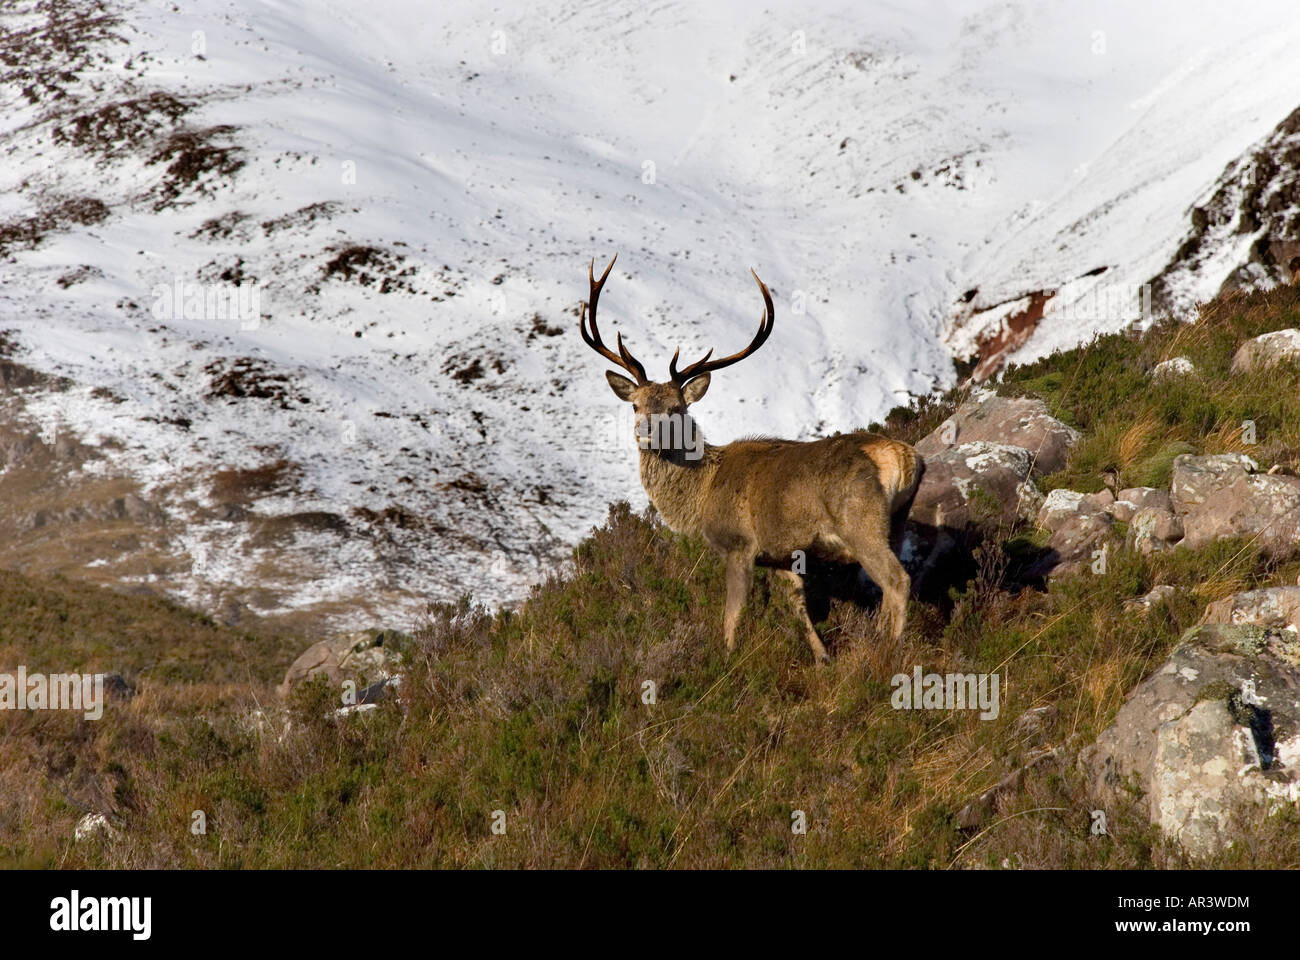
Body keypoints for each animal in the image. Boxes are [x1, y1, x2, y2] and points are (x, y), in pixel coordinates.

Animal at [579, 254, 925, 663]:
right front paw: (822, 657)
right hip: (896, 521)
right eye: (636, 405)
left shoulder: (739, 543)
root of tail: (902, 457)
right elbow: (796, 604)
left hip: (860, 521)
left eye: (678, 407)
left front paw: (725, 660)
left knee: (897, 580)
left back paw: (888, 655)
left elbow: (733, 614)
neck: (701, 495)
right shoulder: (780, 554)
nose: (646, 430)